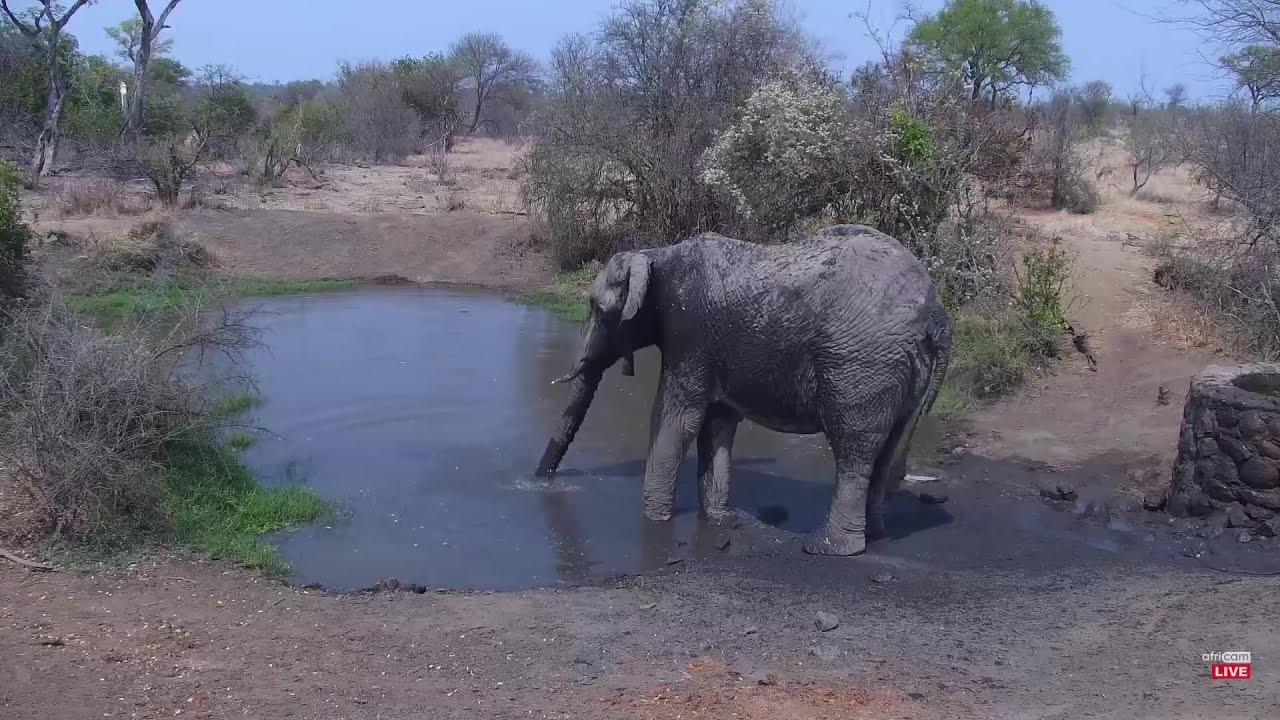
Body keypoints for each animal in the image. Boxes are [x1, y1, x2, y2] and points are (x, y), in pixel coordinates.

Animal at [534, 224, 952, 556]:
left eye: (595, 307)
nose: (540, 483)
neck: (656, 255)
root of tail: (937, 315)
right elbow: (717, 425)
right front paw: (719, 519)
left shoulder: (689, 335)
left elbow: (677, 420)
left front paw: (655, 521)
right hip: (904, 368)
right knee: (890, 449)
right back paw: (874, 536)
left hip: (862, 365)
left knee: (855, 450)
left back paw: (827, 548)